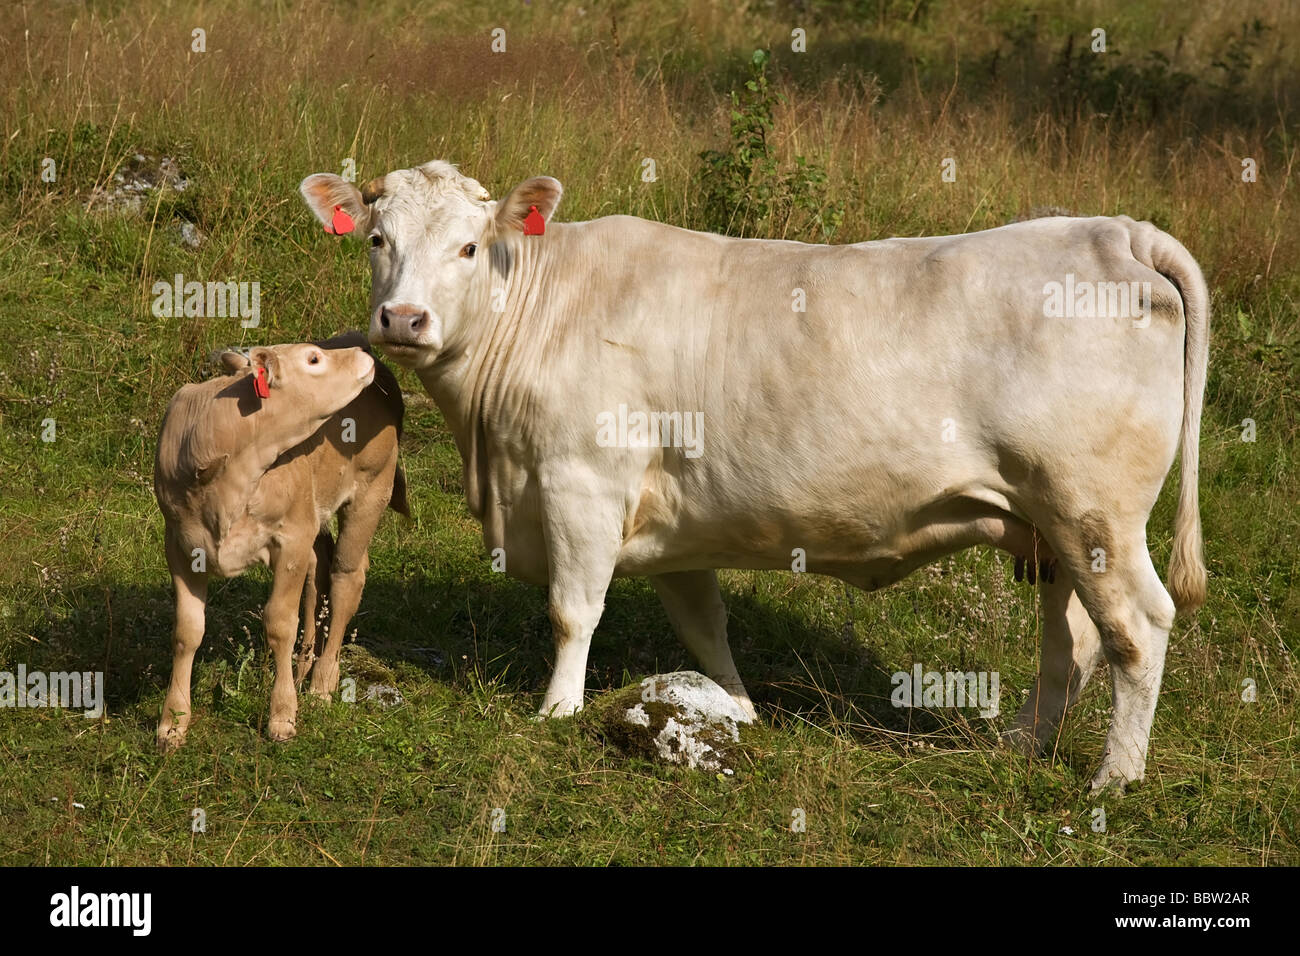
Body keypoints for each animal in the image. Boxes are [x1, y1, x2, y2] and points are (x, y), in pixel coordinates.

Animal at [153, 333, 406, 750]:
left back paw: (321, 683)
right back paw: (304, 668)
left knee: (346, 578)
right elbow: (187, 631)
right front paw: (173, 722)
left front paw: (283, 715)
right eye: (313, 359)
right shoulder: (180, 544)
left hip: (372, 490)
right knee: (319, 571)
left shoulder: (291, 539)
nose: (364, 352)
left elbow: (279, 623)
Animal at [299, 160, 1208, 790]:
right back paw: (1023, 744)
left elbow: (572, 612)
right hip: (1050, 528)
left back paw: (1114, 777)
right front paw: (737, 710)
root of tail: (1116, 230)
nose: (403, 319)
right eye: (378, 241)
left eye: (467, 247)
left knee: (1137, 628)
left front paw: (556, 711)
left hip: (1092, 510)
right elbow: (705, 626)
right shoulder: (670, 520)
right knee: (1071, 640)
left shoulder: (580, 483)